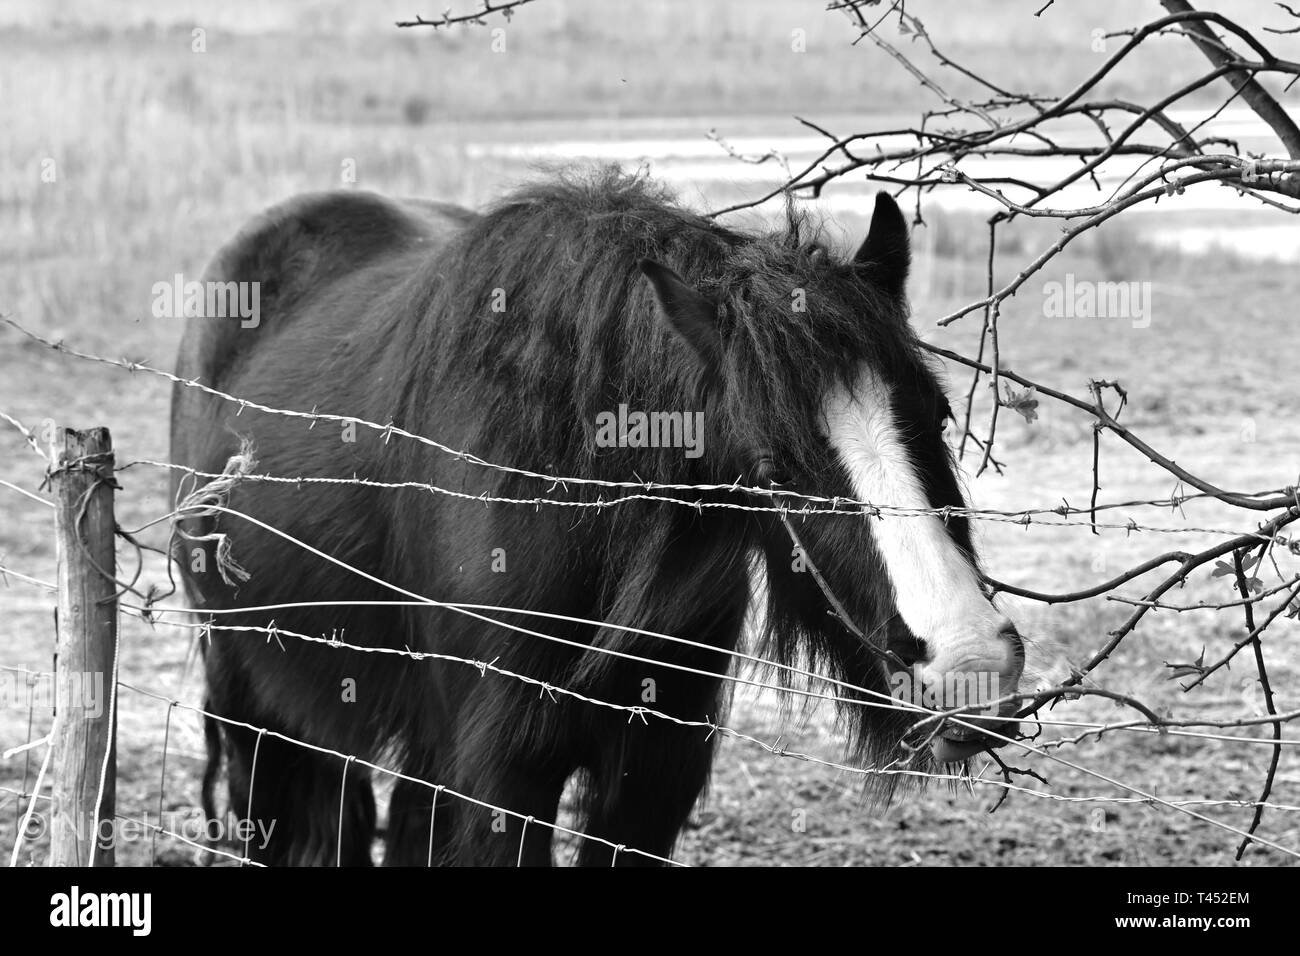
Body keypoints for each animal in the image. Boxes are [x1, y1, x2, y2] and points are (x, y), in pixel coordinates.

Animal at [169, 170, 1024, 866]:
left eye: (939, 414)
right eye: (772, 467)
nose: (972, 668)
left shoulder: (651, 778)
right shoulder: (500, 780)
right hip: (253, 692)